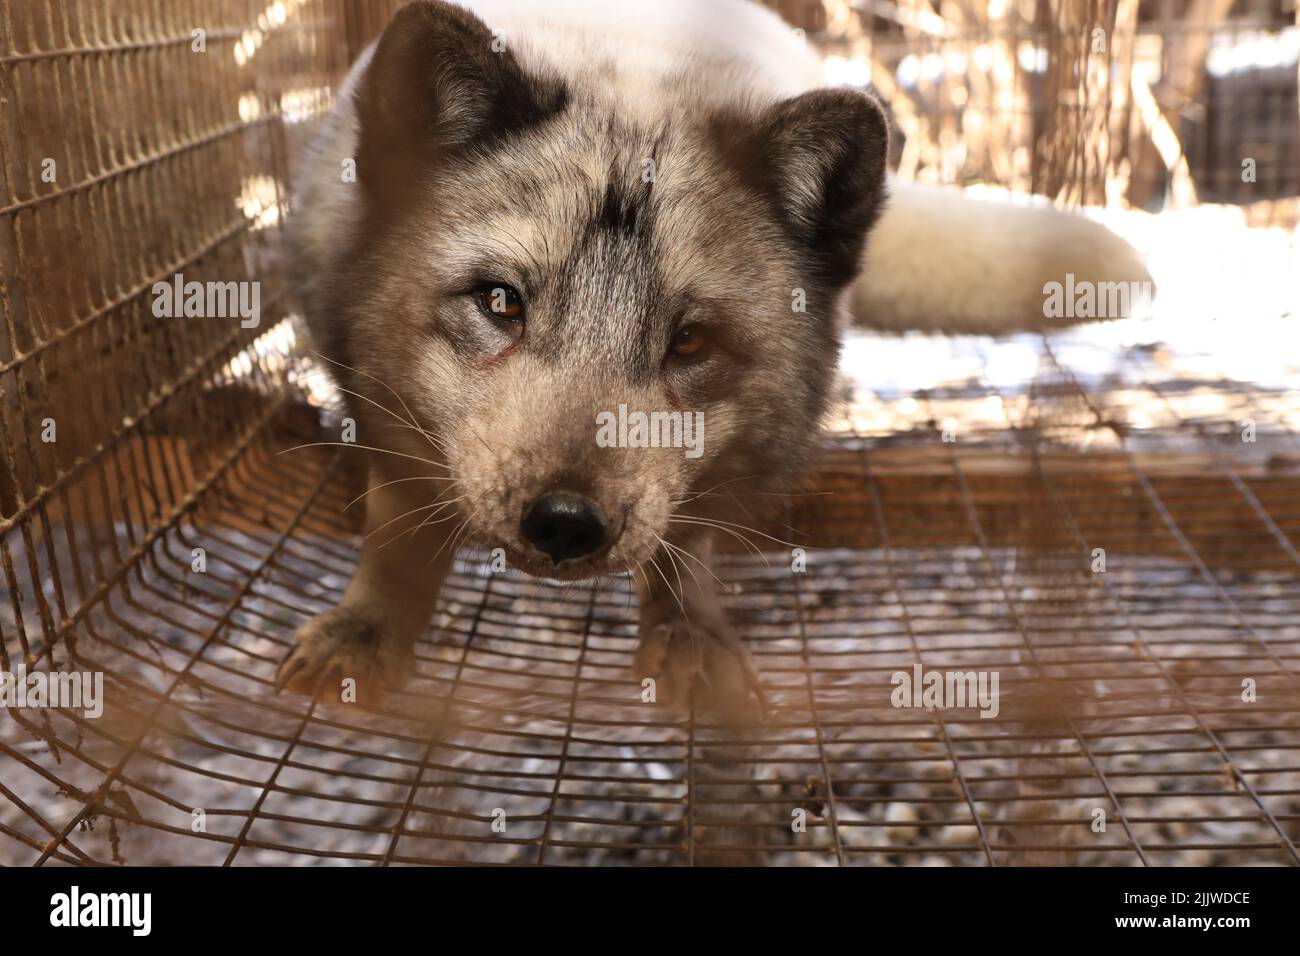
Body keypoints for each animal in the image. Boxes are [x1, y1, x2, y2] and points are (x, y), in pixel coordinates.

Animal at [277, 0, 1151, 718]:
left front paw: (689, 633)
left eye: (690, 340)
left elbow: (685, 541)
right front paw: (368, 628)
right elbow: (395, 529)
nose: (564, 523)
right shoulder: (375, 407)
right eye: (500, 303)